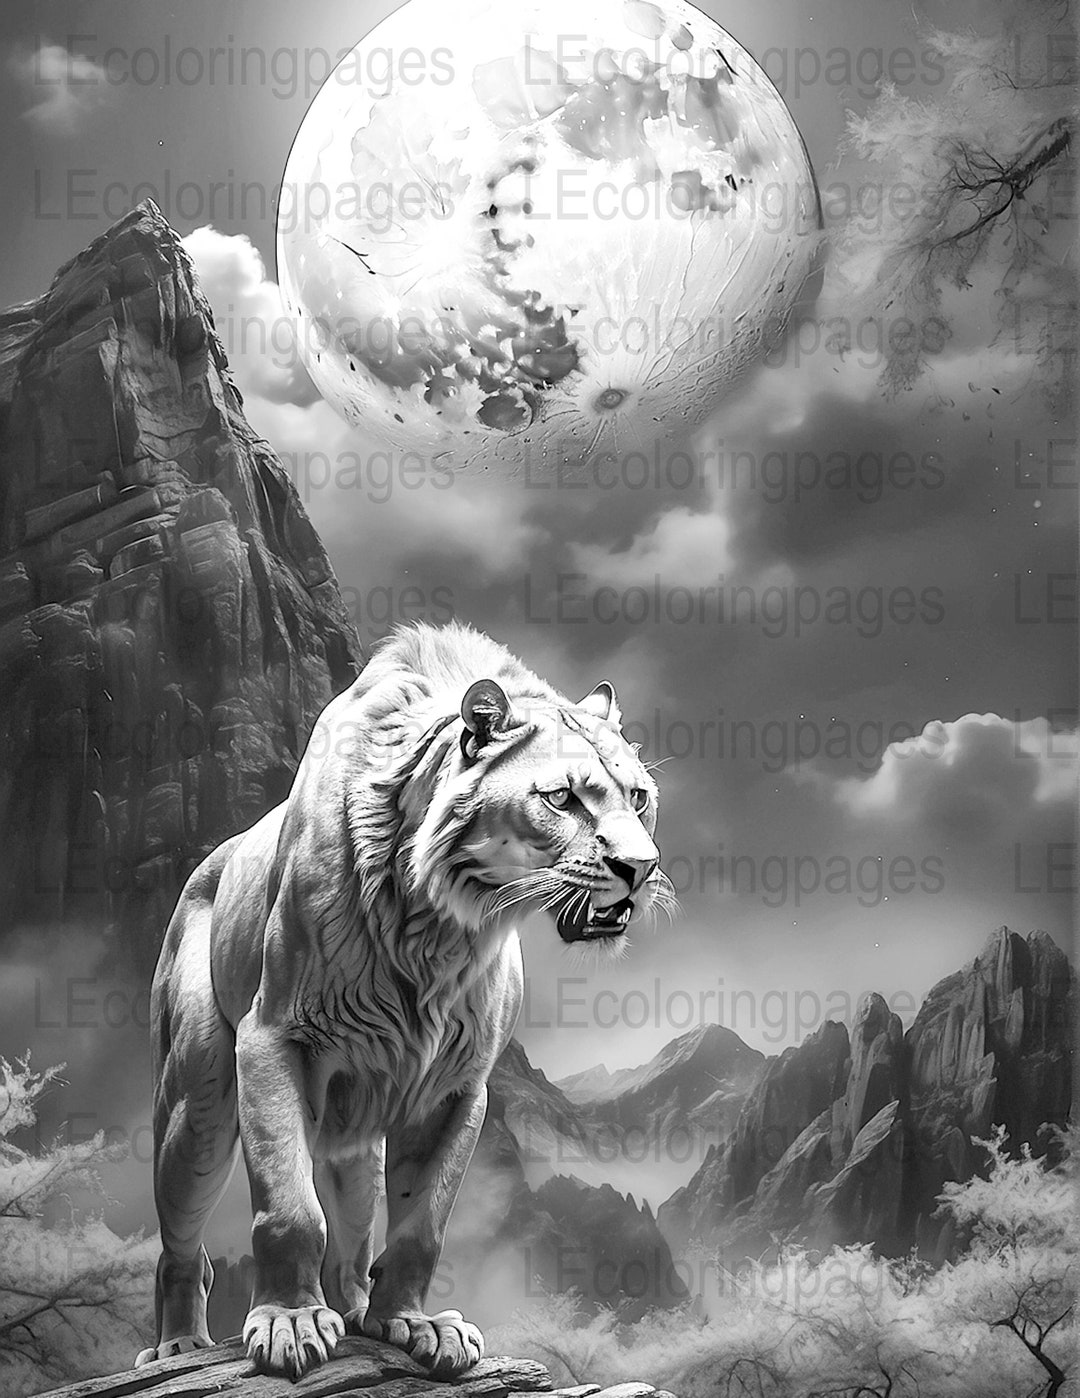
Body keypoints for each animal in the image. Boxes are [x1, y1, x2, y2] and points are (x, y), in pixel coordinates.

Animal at [134, 620, 669, 1381]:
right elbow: (288, 1205)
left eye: (639, 797)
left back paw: (358, 1312)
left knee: (352, 1241)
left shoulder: (456, 1087)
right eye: (562, 799)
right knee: (181, 1245)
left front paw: (413, 1325)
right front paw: (290, 1323)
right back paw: (180, 1345)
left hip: (353, 1134)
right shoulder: (271, 1038)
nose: (641, 868)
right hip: (196, 1108)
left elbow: (423, 1224)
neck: (444, 925)